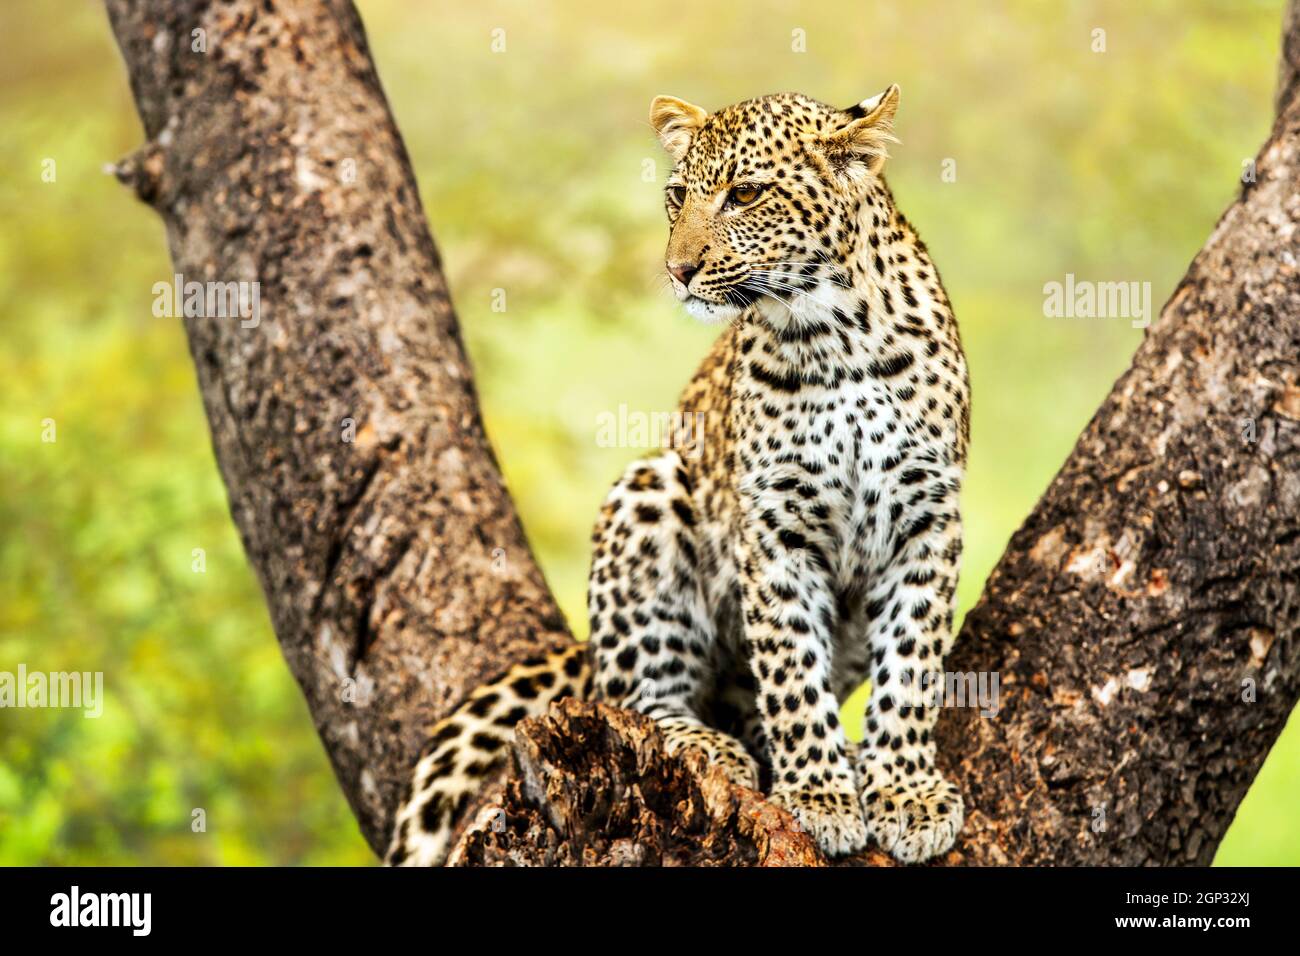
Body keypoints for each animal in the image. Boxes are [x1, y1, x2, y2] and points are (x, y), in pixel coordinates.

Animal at [386, 85, 970, 867]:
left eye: (744, 194)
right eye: (675, 196)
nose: (678, 269)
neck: (835, 336)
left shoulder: (927, 520)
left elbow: (912, 665)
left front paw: (905, 791)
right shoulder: (775, 527)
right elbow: (792, 669)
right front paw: (818, 797)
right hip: (651, 492)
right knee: (635, 691)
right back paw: (711, 746)